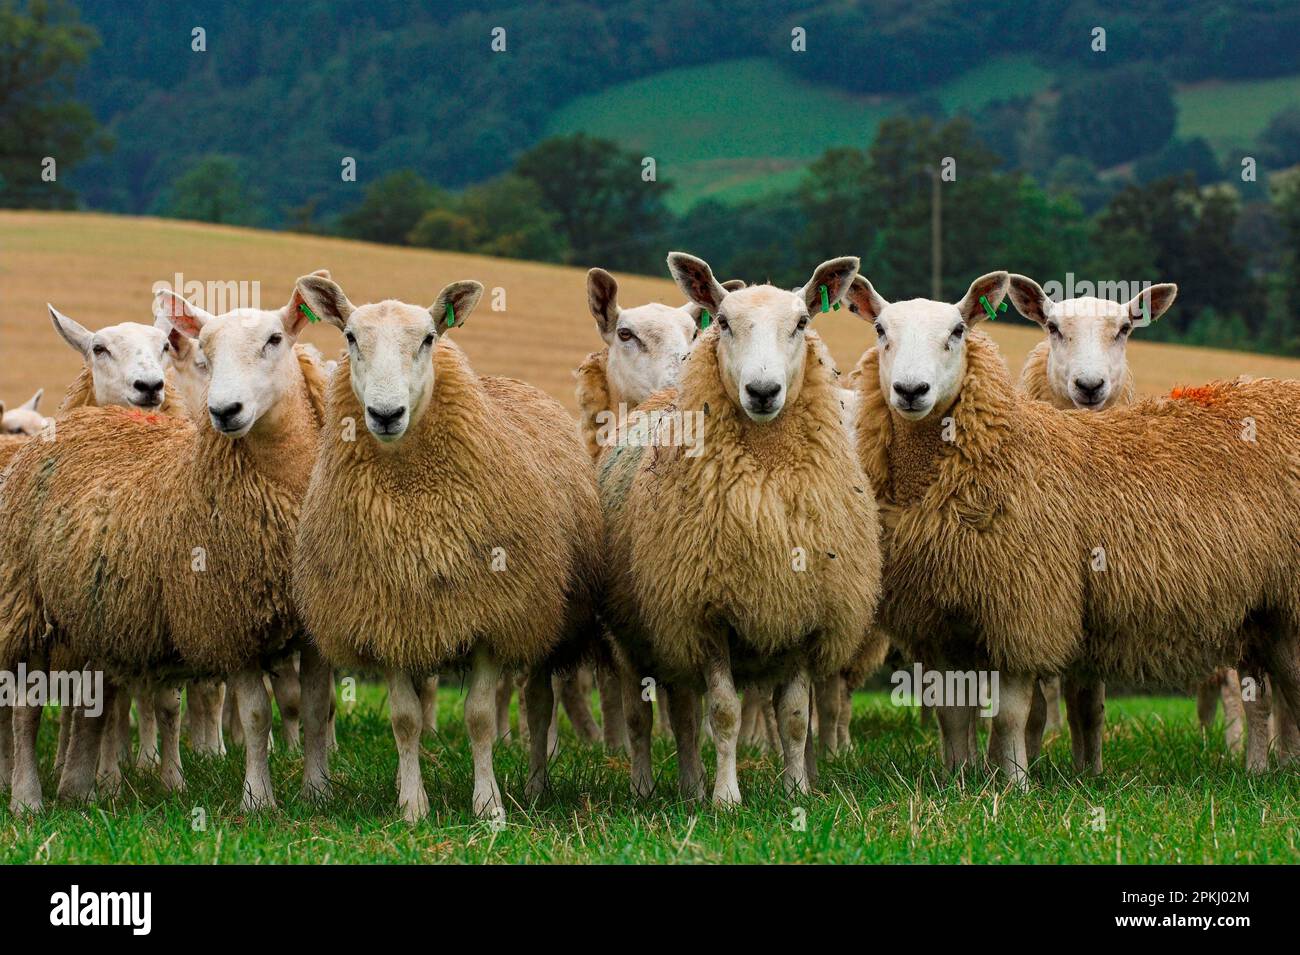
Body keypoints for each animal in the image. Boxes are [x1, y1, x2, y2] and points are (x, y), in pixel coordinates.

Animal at [1, 279, 334, 813]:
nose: (224, 411)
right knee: (26, 711)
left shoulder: (312, 626)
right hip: (26, 604)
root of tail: (79, 420)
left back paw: (80, 787)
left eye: (275, 339)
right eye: (207, 353)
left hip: (94, 616)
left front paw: (318, 792)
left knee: (94, 705)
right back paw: (28, 796)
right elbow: (255, 714)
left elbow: (316, 708)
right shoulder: (227, 618)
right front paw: (257, 800)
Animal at [291, 274, 603, 822]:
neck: (411, 499)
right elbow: (405, 719)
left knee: (539, 703)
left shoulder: (491, 616)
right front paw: (413, 806)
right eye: (350, 337)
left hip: (544, 616)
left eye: (429, 338)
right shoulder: (389, 621)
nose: (385, 414)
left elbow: (479, 718)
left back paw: (536, 785)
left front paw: (489, 806)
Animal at [598, 252, 881, 805]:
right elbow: (725, 713)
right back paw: (645, 786)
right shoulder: (705, 613)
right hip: (637, 634)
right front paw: (727, 799)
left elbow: (793, 718)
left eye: (802, 322)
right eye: (725, 323)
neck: (767, 473)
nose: (763, 391)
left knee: (683, 714)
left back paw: (689, 785)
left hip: (673, 634)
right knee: (641, 716)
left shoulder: (803, 614)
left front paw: (797, 790)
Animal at [846, 271, 1300, 786]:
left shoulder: (1027, 609)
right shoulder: (940, 620)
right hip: (1264, 614)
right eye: (880, 330)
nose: (910, 390)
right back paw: (1265, 769)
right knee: (1273, 693)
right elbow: (954, 715)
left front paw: (1017, 783)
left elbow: (1015, 714)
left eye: (958, 331)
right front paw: (959, 779)